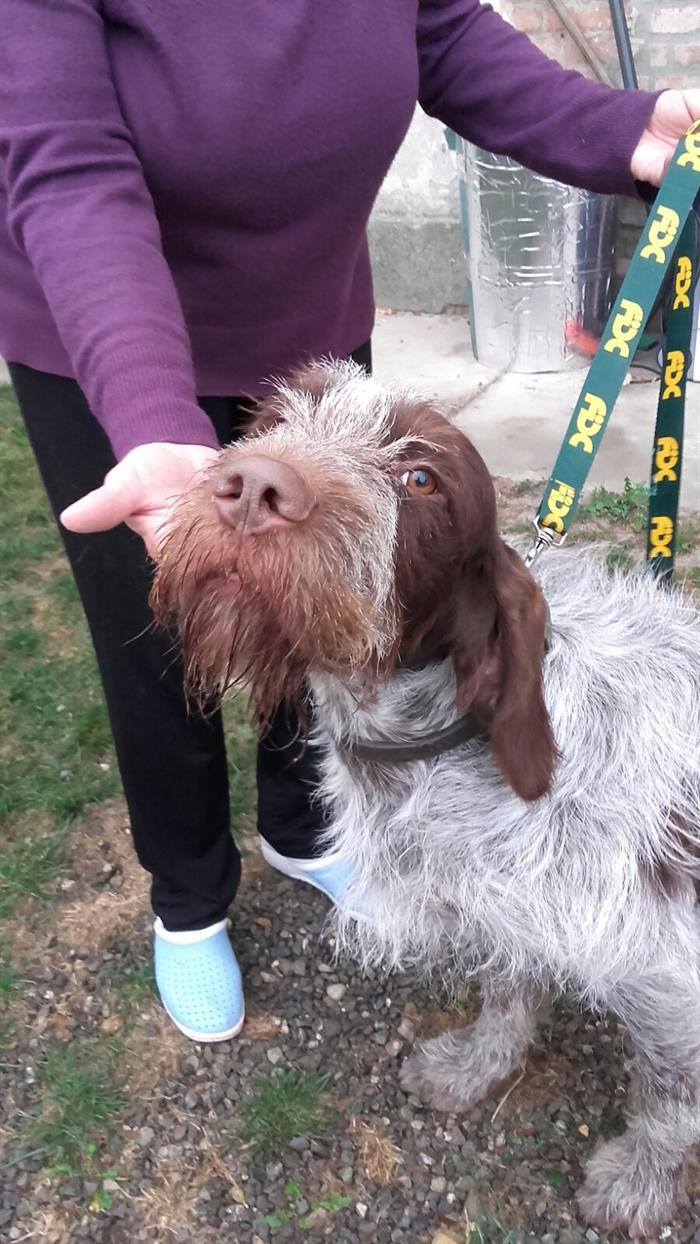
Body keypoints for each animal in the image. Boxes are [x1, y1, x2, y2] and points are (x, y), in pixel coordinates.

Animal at [153, 358, 700, 1234]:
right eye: (271, 421)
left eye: (421, 479)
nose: (251, 486)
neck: (425, 747)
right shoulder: (510, 907)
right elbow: (508, 993)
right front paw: (477, 1067)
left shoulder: (664, 975)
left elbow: (670, 1102)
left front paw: (638, 1183)